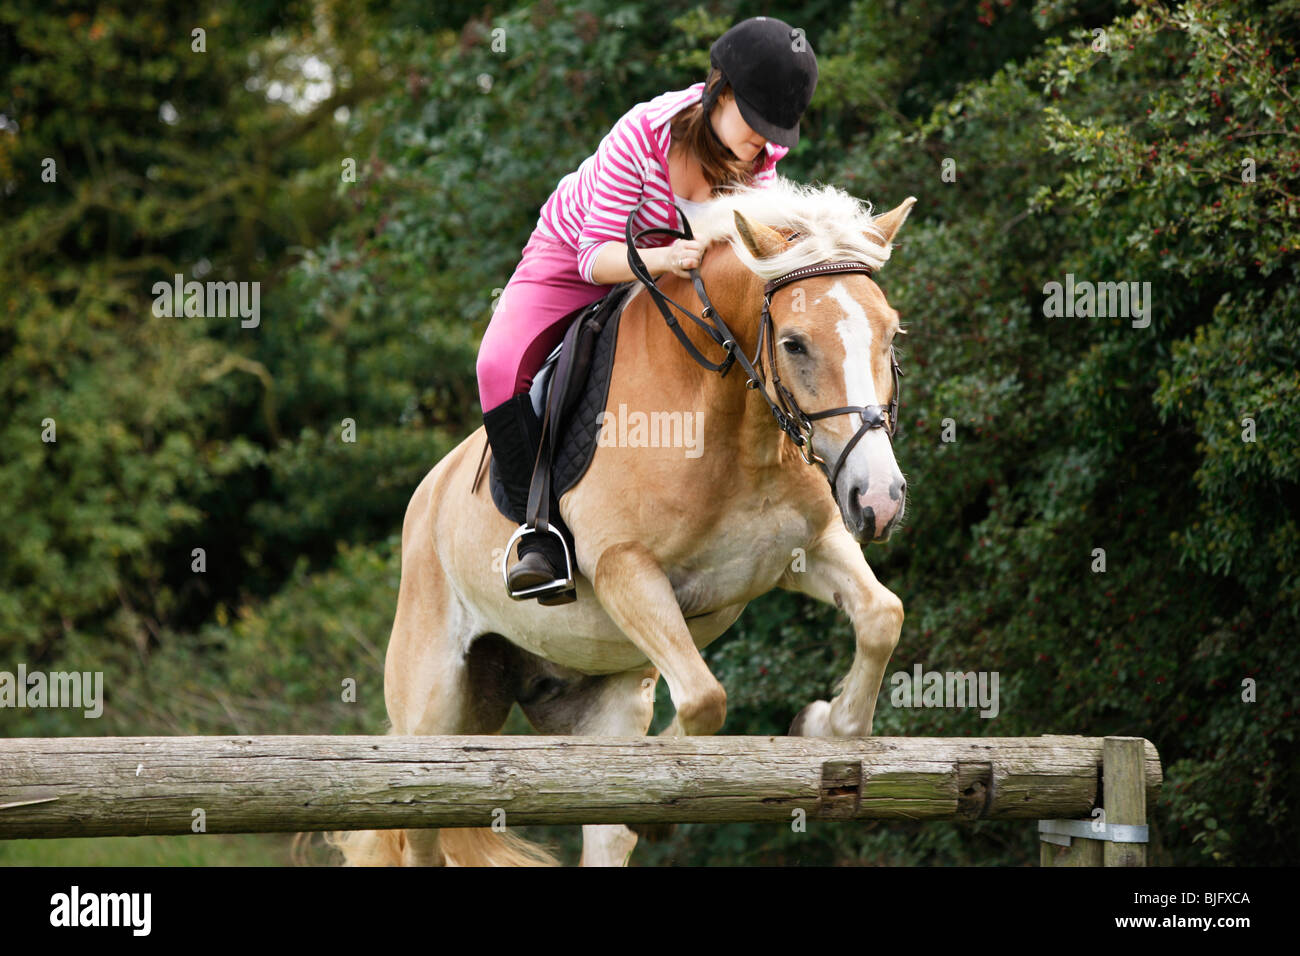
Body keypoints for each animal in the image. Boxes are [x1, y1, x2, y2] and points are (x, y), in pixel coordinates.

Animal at [333, 179, 917, 866]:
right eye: (794, 342)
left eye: (891, 335)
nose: (879, 498)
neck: (730, 427)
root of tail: (428, 495)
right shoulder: (624, 569)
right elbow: (705, 699)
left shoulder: (814, 548)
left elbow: (881, 617)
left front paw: (821, 724)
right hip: (432, 710)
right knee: (418, 823)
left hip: (595, 691)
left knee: (603, 823)